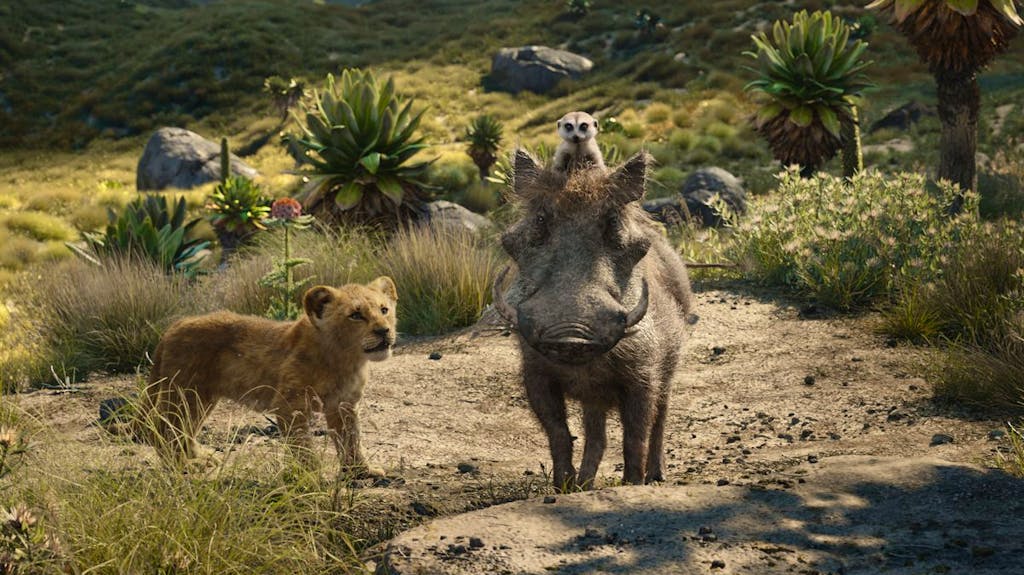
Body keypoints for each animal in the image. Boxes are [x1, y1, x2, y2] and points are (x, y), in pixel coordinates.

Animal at [139, 277, 398, 475]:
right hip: (185, 392)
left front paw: (361, 471)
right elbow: (302, 445)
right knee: (164, 428)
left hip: (202, 397)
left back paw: (200, 457)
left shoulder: (343, 405)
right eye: (356, 315)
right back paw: (184, 465)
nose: (384, 331)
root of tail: (173, 327)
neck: (346, 360)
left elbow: (351, 439)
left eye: (384, 310)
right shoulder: (289, 405)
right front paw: (310, 476)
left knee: (185, 429)